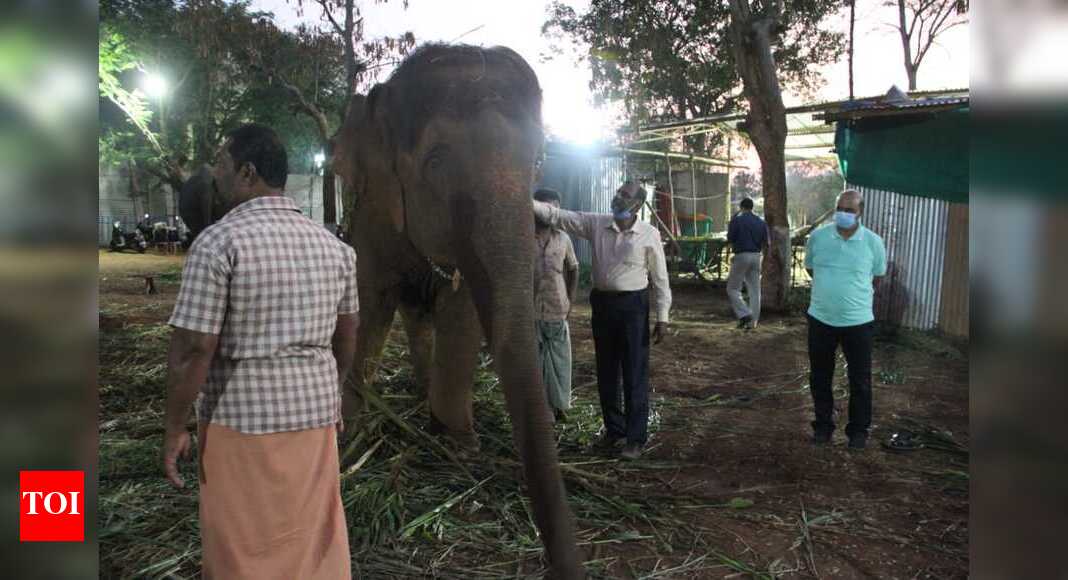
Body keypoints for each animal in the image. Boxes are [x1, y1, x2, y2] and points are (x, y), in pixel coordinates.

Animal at [332, 44, 583, 578]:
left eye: (538, 161)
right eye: (436, 160)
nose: (564, 566)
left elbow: (461, 312)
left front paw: (457, 441)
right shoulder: (376, 209)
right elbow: (370, 298)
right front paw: (352, 428)